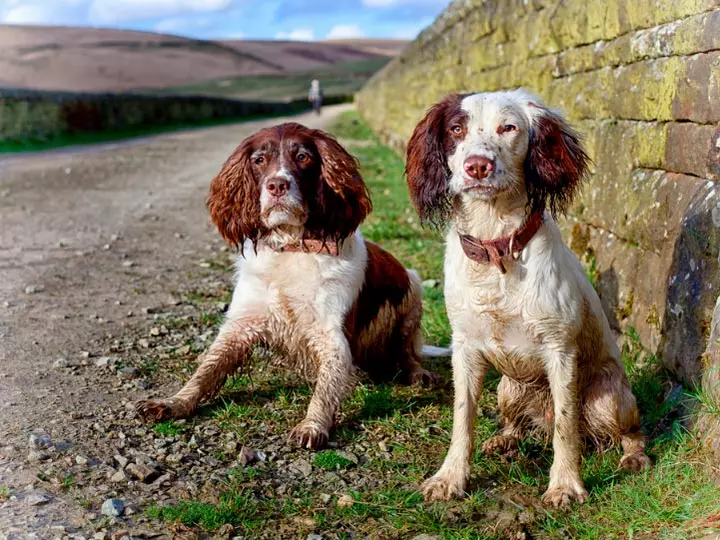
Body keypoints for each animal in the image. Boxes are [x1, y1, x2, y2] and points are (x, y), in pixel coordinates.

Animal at [139, 122, 436, 448]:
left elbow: (325, 389)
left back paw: (418, 374)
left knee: (408, 352)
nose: (277, 185)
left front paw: (312, 425)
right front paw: (173, 402)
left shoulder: (332, 337)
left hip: (414, 290)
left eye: (303, 157)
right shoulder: (240, 326)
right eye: (259, 160)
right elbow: (205, 370)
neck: (292, 248)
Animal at [404, 90, 652, 508]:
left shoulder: (560, 349)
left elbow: (567, 427)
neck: (497, 248)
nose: (477, 166)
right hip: (507, 389)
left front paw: (565, 485)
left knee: (629, 432)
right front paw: (450, 477)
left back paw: (634, 457)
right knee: (516, 424)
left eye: (508, 127)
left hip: (608, 397)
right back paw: (504, 440)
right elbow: (462, 417)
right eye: (456, 129)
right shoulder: (464, 348)